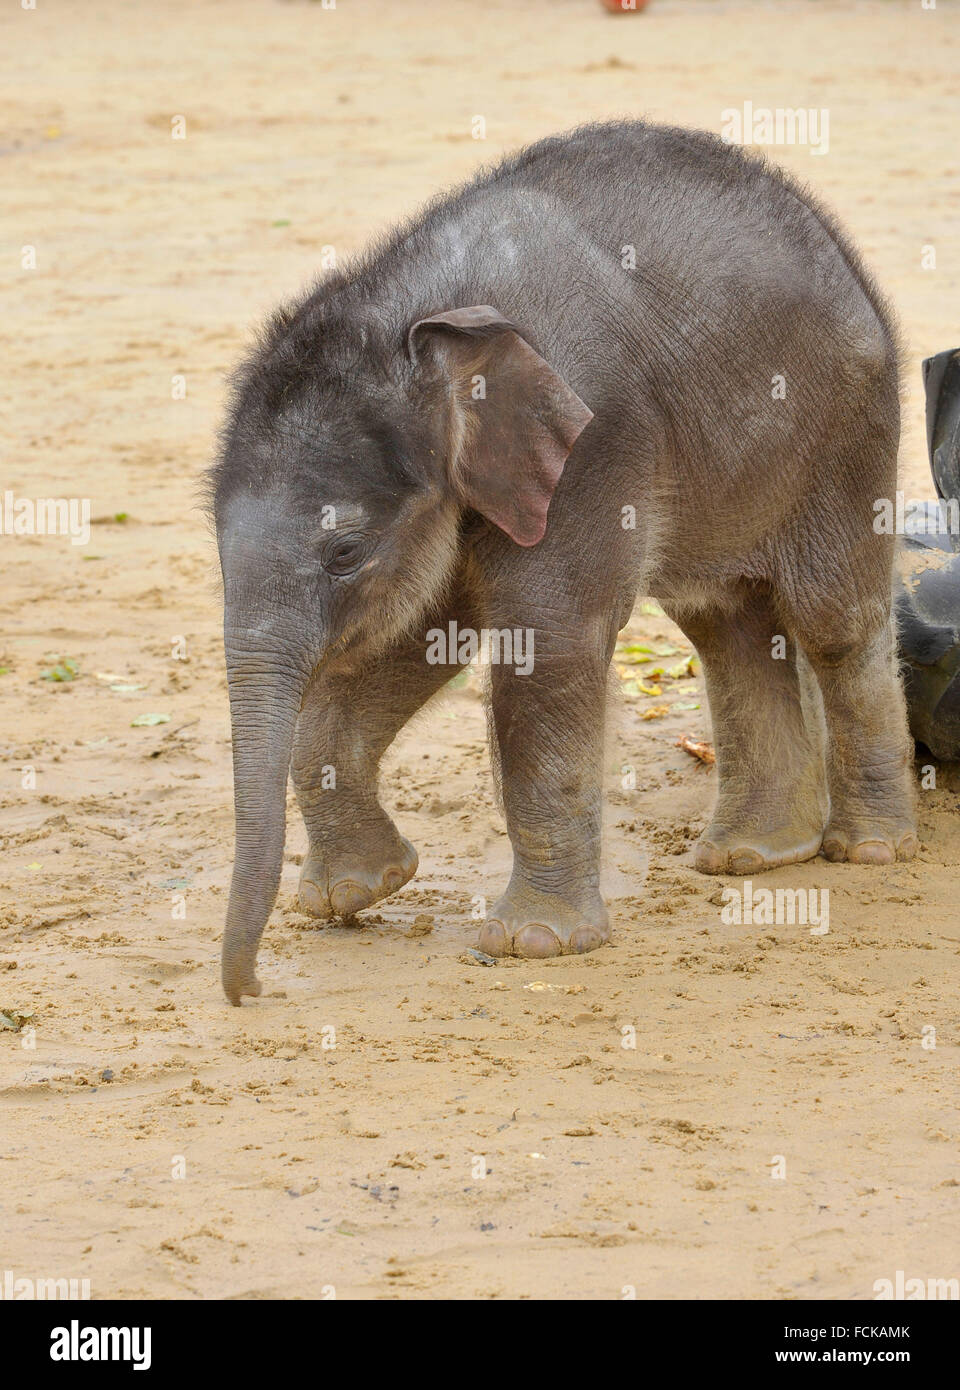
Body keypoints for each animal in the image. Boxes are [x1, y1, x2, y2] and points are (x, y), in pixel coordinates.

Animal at [210, 119, 917, 1005]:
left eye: (344, 551)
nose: (250, 993)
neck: (419, 319)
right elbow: (419, 639)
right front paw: (354, 896)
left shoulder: (595, 440)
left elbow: (543, 646)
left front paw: (532, 946)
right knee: (725, 619)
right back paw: (751, 857)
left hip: (848, 427)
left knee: (830, 619)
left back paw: (868, 850)